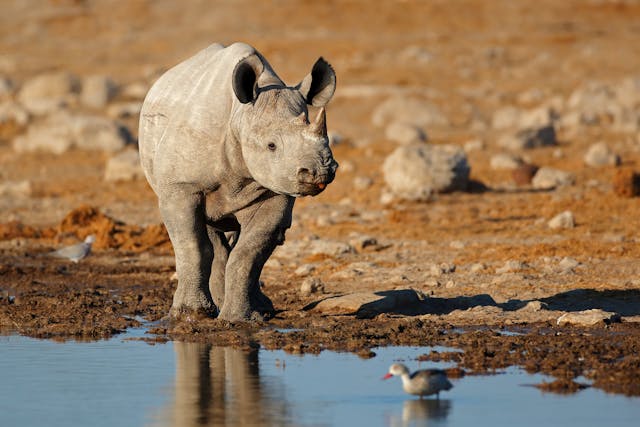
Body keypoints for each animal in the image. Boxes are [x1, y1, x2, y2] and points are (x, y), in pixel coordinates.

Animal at [138, 42, 338, 321]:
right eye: (271, 146)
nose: (320, 173)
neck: (240, 116)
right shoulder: (181, 187)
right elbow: (192, 246)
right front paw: (189, 314)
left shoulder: (275, 191)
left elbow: (249, 253)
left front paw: (239, 319)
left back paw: (259, 307)